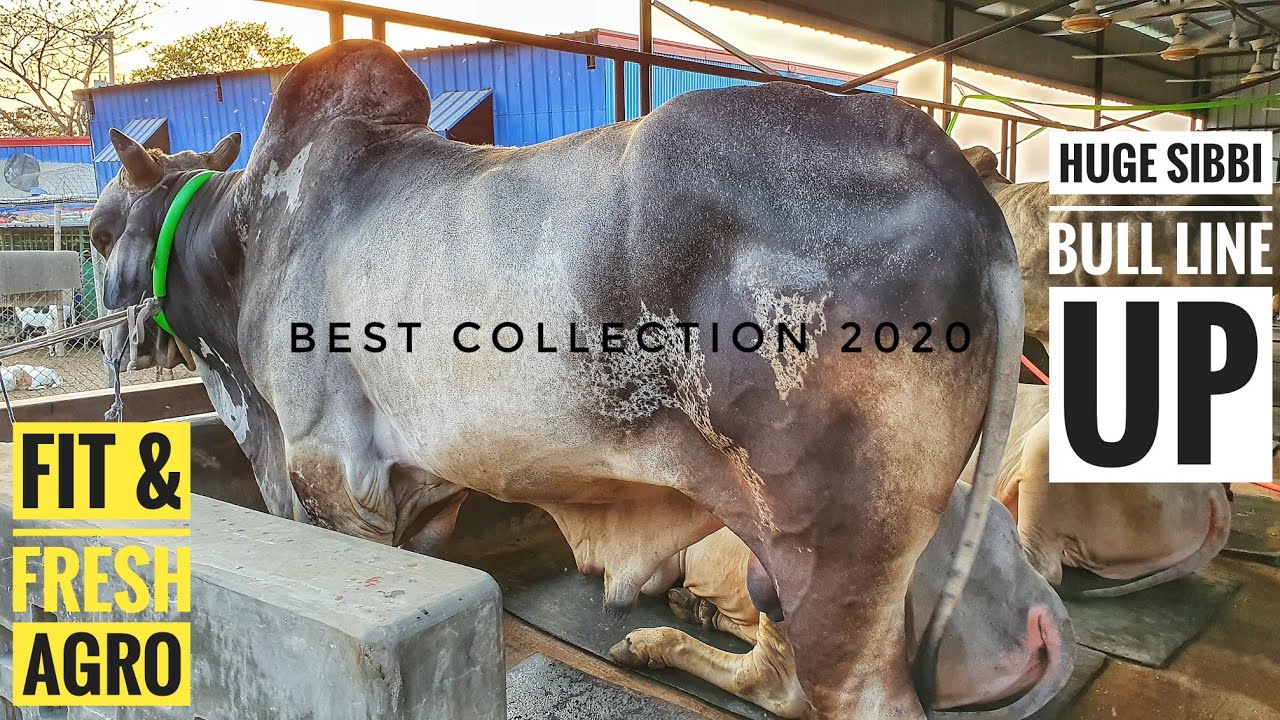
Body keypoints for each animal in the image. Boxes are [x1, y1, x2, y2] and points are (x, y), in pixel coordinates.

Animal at [90, 40, 1023, 718]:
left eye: (98, 231)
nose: (113, 342)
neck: (245, 239)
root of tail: (960, 184)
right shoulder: (424, 497)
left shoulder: (333, 481)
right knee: (780, 679)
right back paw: (653, 645)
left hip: (835, 559)